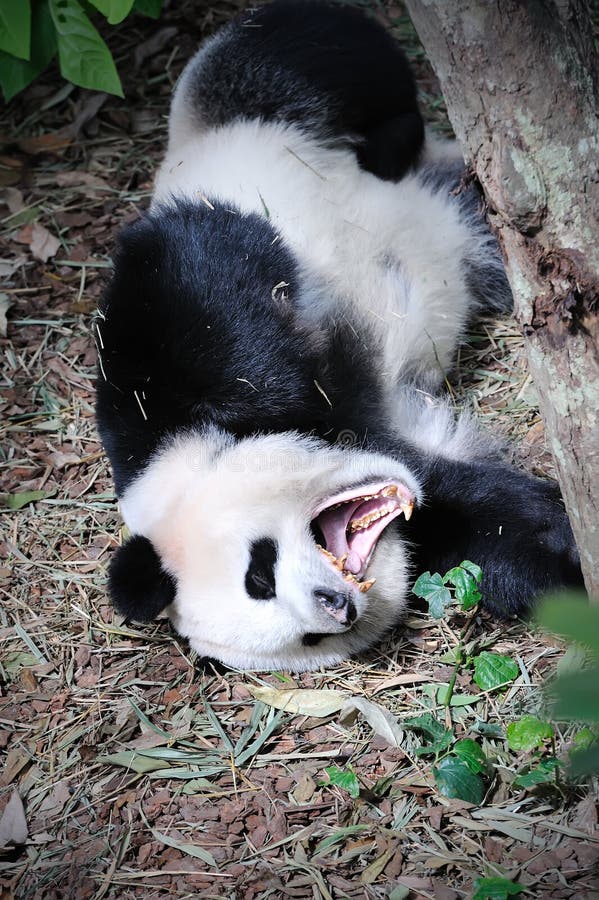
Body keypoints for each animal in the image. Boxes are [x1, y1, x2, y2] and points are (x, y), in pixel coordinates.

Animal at [96, 0, 582, 671]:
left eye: (259, 572)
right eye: (308, 640)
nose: (336, 605)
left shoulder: (152, 386)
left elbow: (197, 288)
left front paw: (287, 386)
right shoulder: (433, 515)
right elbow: (501, 534)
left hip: (242, 106)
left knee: (316, 55)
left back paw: (392, 135)